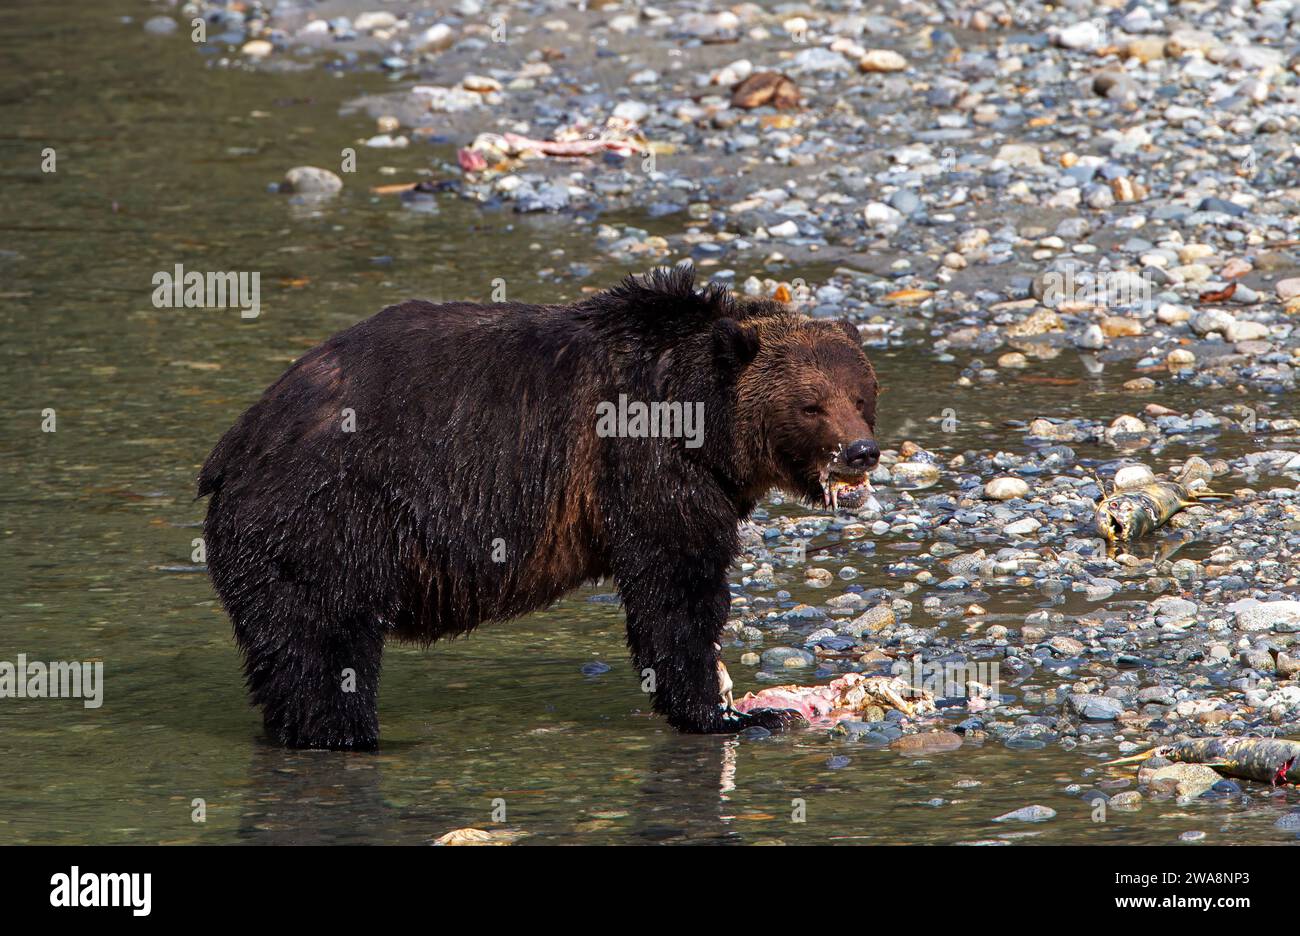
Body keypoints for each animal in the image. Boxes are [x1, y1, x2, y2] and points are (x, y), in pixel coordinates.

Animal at [198, 266, 880, 750]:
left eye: (860, 394)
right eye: (811, 403)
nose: (860, 451)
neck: (703, 420)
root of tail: (235, 446)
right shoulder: (641, 461)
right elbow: (677, 587)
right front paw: (727, 712)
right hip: (331, 515)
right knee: (327, 639)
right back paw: (348, 734)